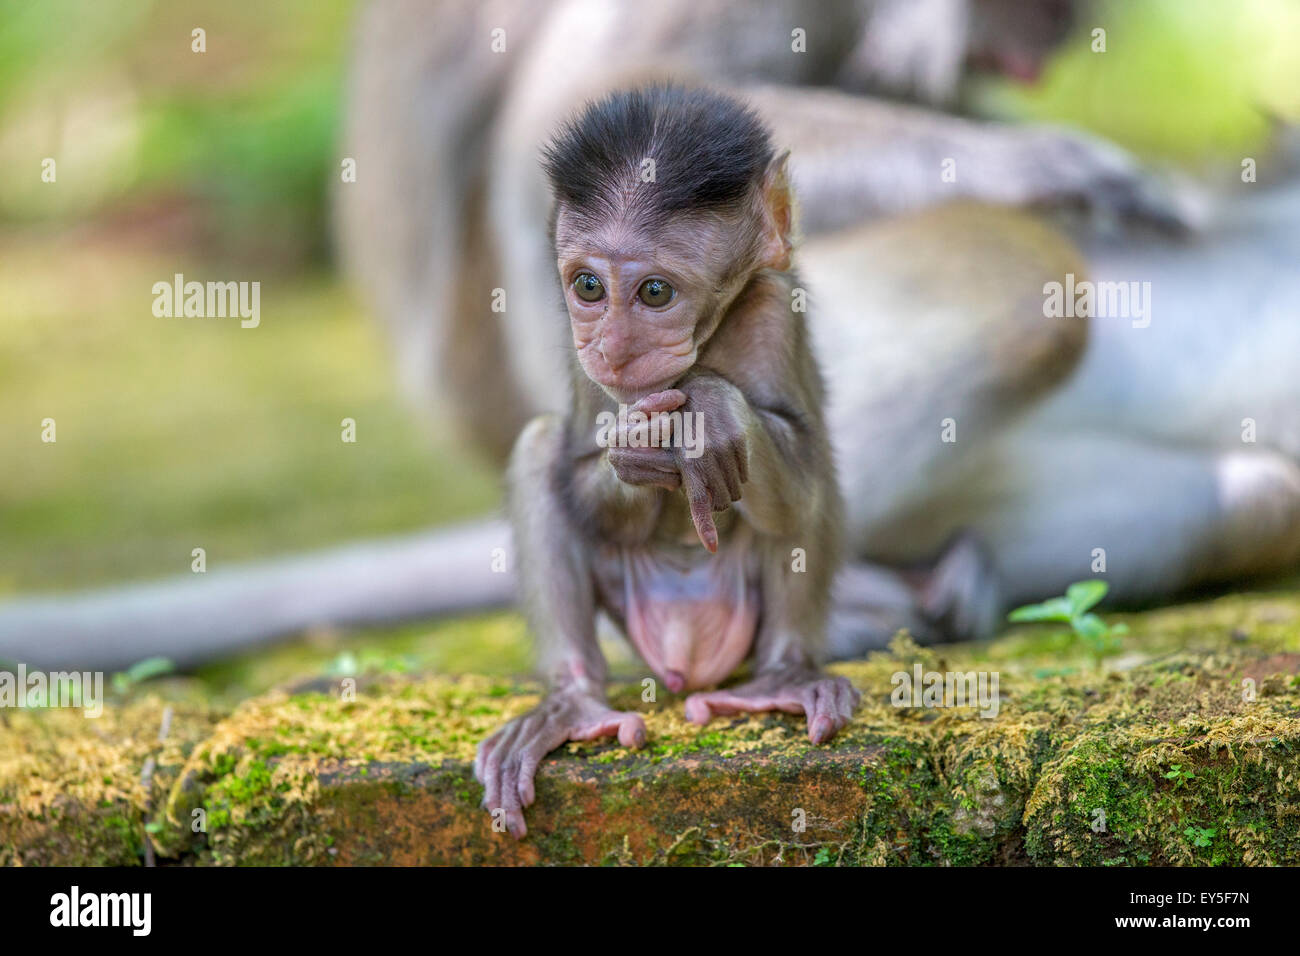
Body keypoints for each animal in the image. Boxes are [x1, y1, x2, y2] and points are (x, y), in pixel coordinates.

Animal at [473, 86, 859, 838]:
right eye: (589, 286)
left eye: (655, 292)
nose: (616, 346)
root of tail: (687, 660)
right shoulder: (578, 350)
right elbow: (573, 465)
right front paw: (641, 444)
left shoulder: (774, 305)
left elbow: (802, 463)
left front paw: (705, 408)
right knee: (537, 447)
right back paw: (570, 703)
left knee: (808, 486)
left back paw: (785, 677)